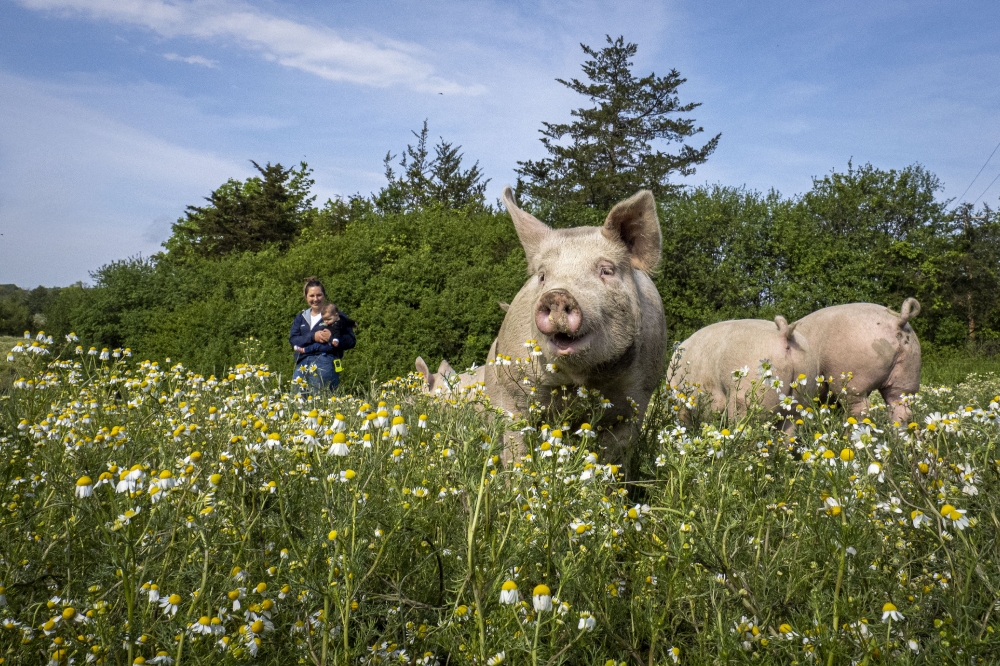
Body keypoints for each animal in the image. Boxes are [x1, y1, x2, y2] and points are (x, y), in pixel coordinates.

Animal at [485, 186, 667, 472]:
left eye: (606, 270)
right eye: (543, 276)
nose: (557, 295)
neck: (580, 380)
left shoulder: (638, 398)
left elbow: (613, 458)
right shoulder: (515, 397)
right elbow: (518, 451)